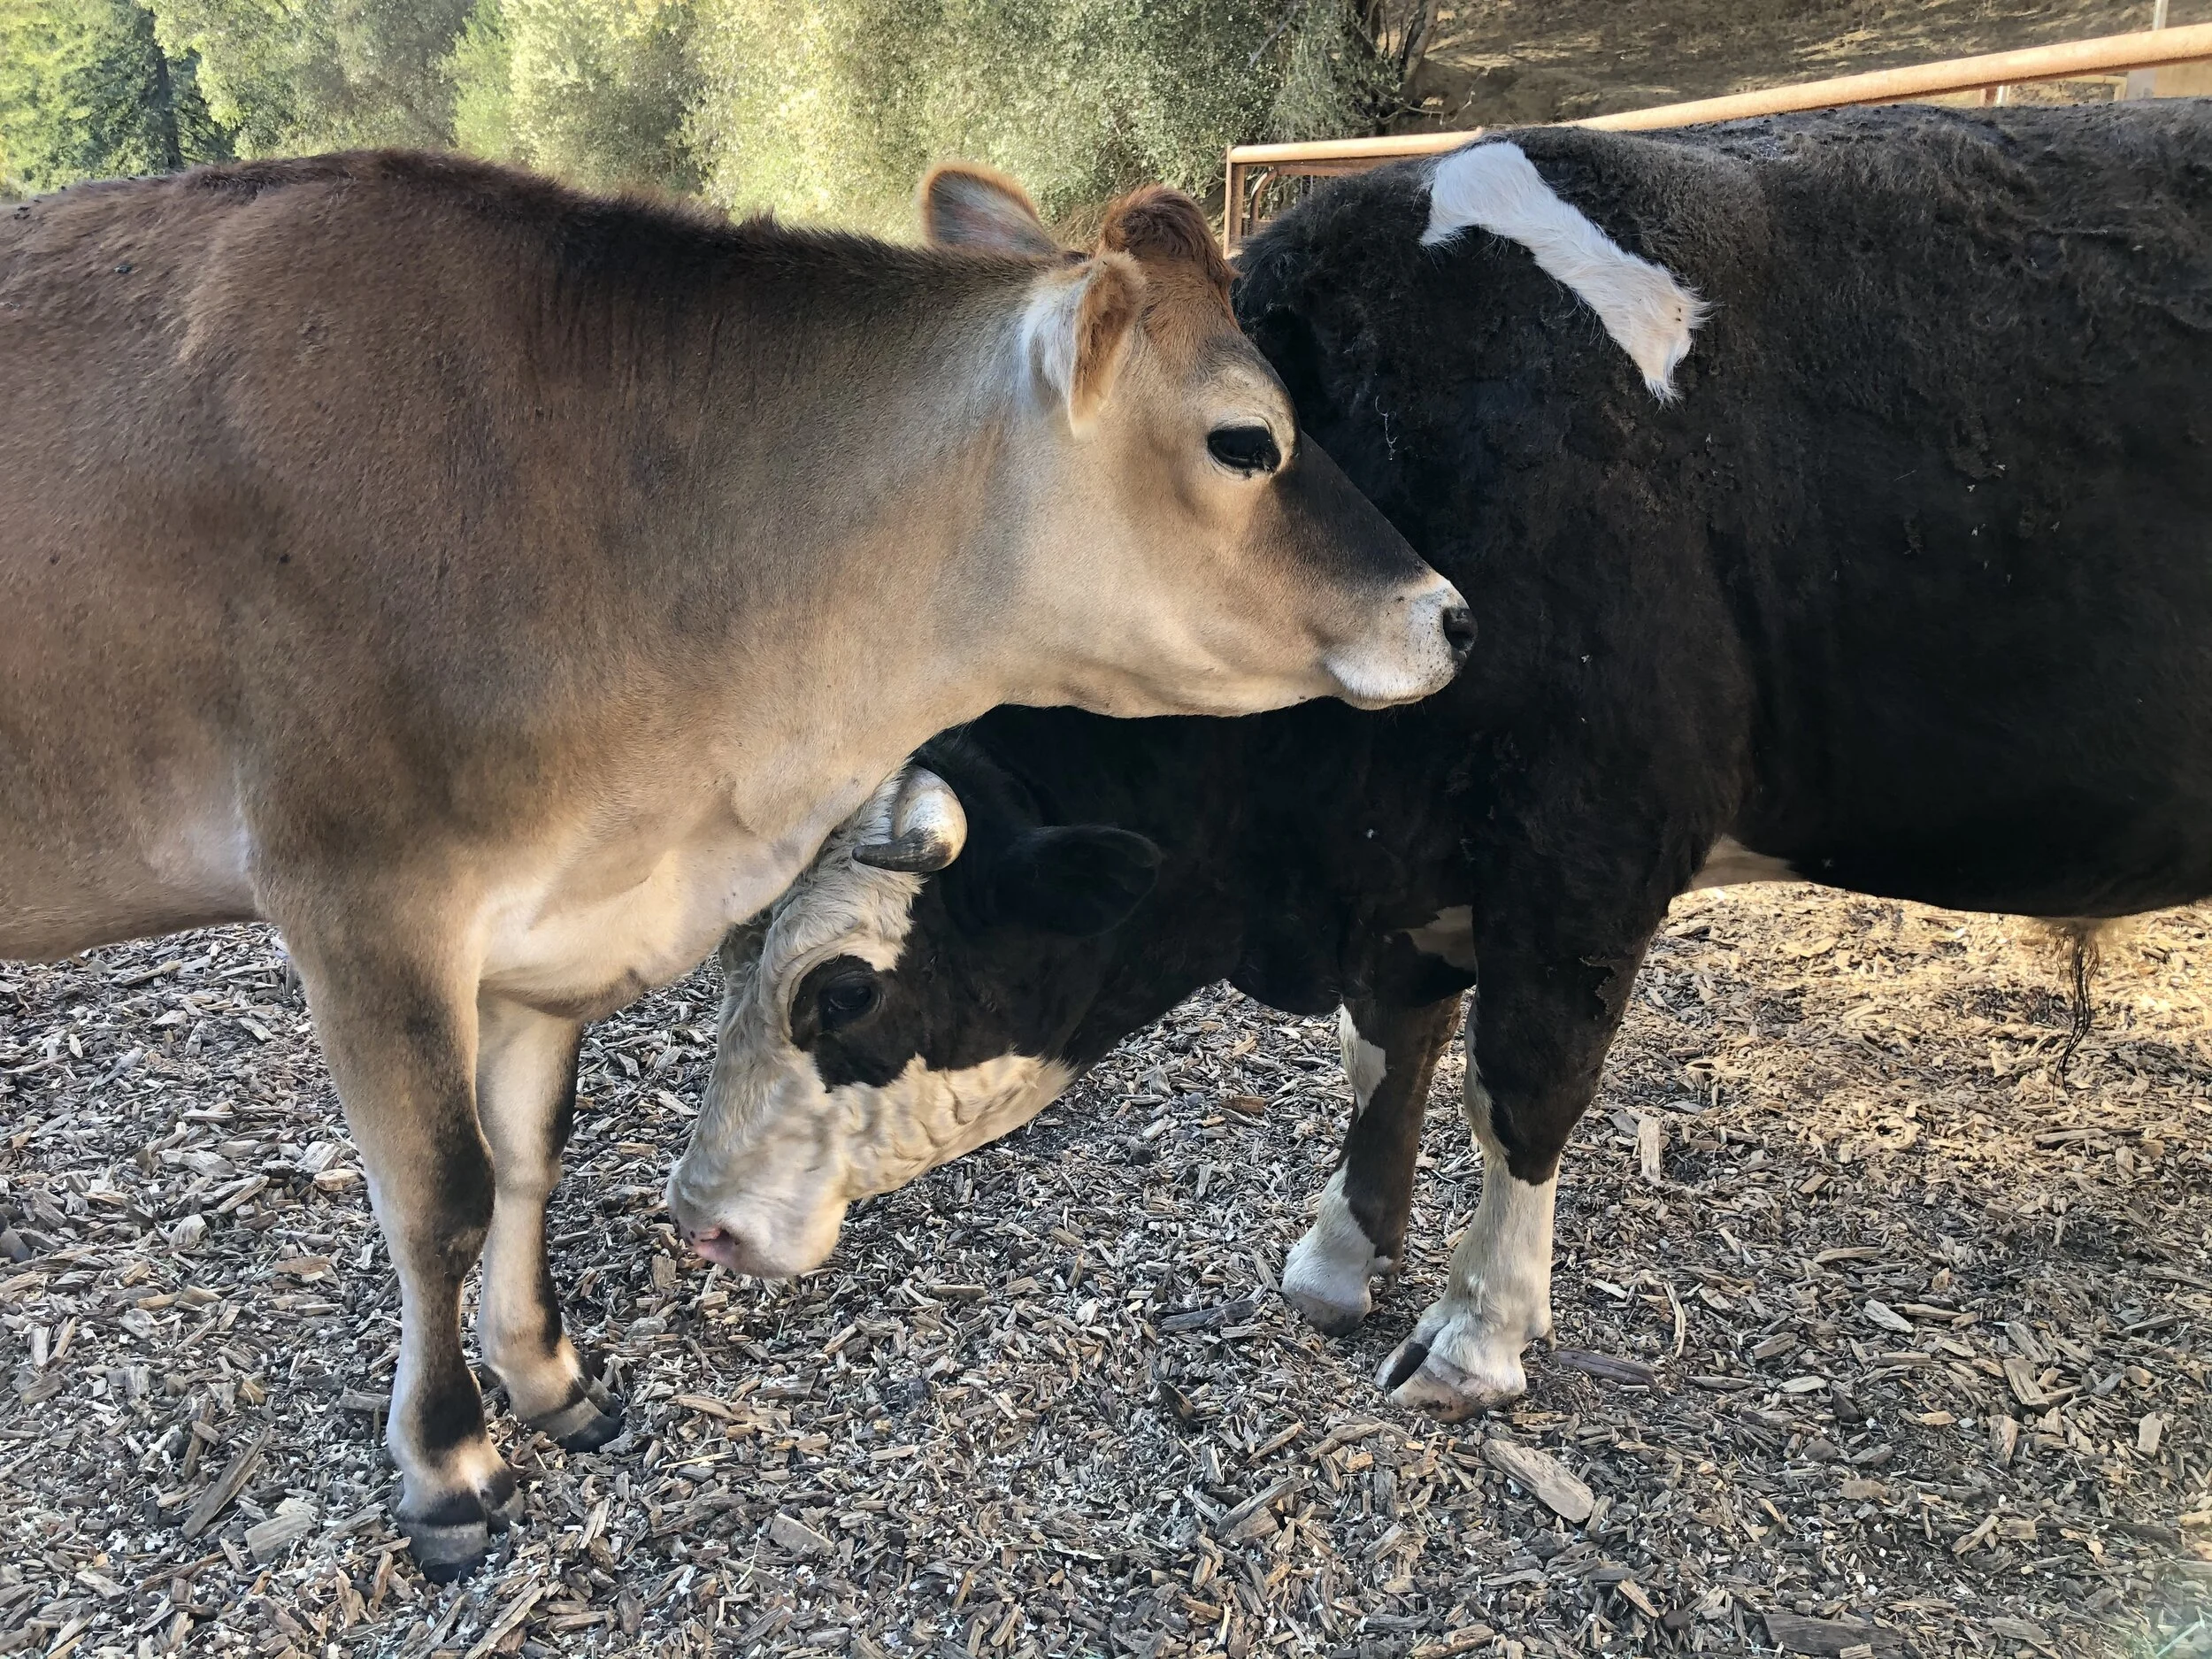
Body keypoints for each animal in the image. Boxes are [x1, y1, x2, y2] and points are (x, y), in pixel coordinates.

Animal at [0, 151, 1471, 1575]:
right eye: (1248, 439)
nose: (1452, 612)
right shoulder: (362, 899)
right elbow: (442, 1198)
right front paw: (449, 1463)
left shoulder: (553, 918)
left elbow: (529, 1155)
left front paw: (548, 1378)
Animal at [681, 100, 2212, 1430]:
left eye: (843, 989)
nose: (695, 1213)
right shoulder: (1402, 867)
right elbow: (1387, 1047)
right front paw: (1340, 1254)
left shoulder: (1587, 856)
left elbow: (1520, 1085)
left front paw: (1478, 1330)